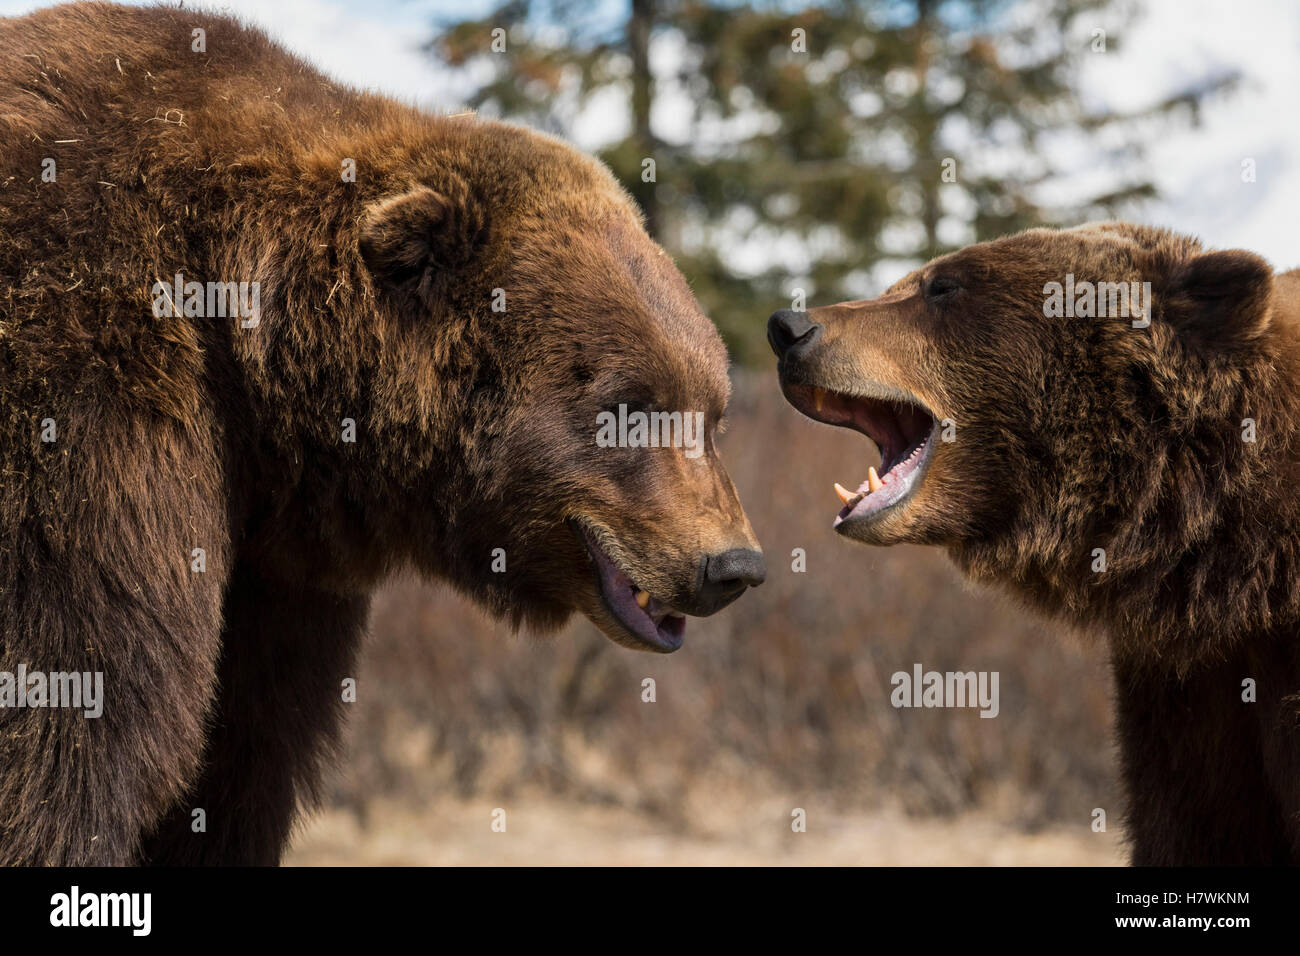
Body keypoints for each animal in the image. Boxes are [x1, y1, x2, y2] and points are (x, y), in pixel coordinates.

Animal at [0, 2, 764, 866]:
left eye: (711, 411)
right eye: (629, 407)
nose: (731, 563)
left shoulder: (274, 570)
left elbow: (244, 756)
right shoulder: (82, 405)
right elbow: (69, 722)